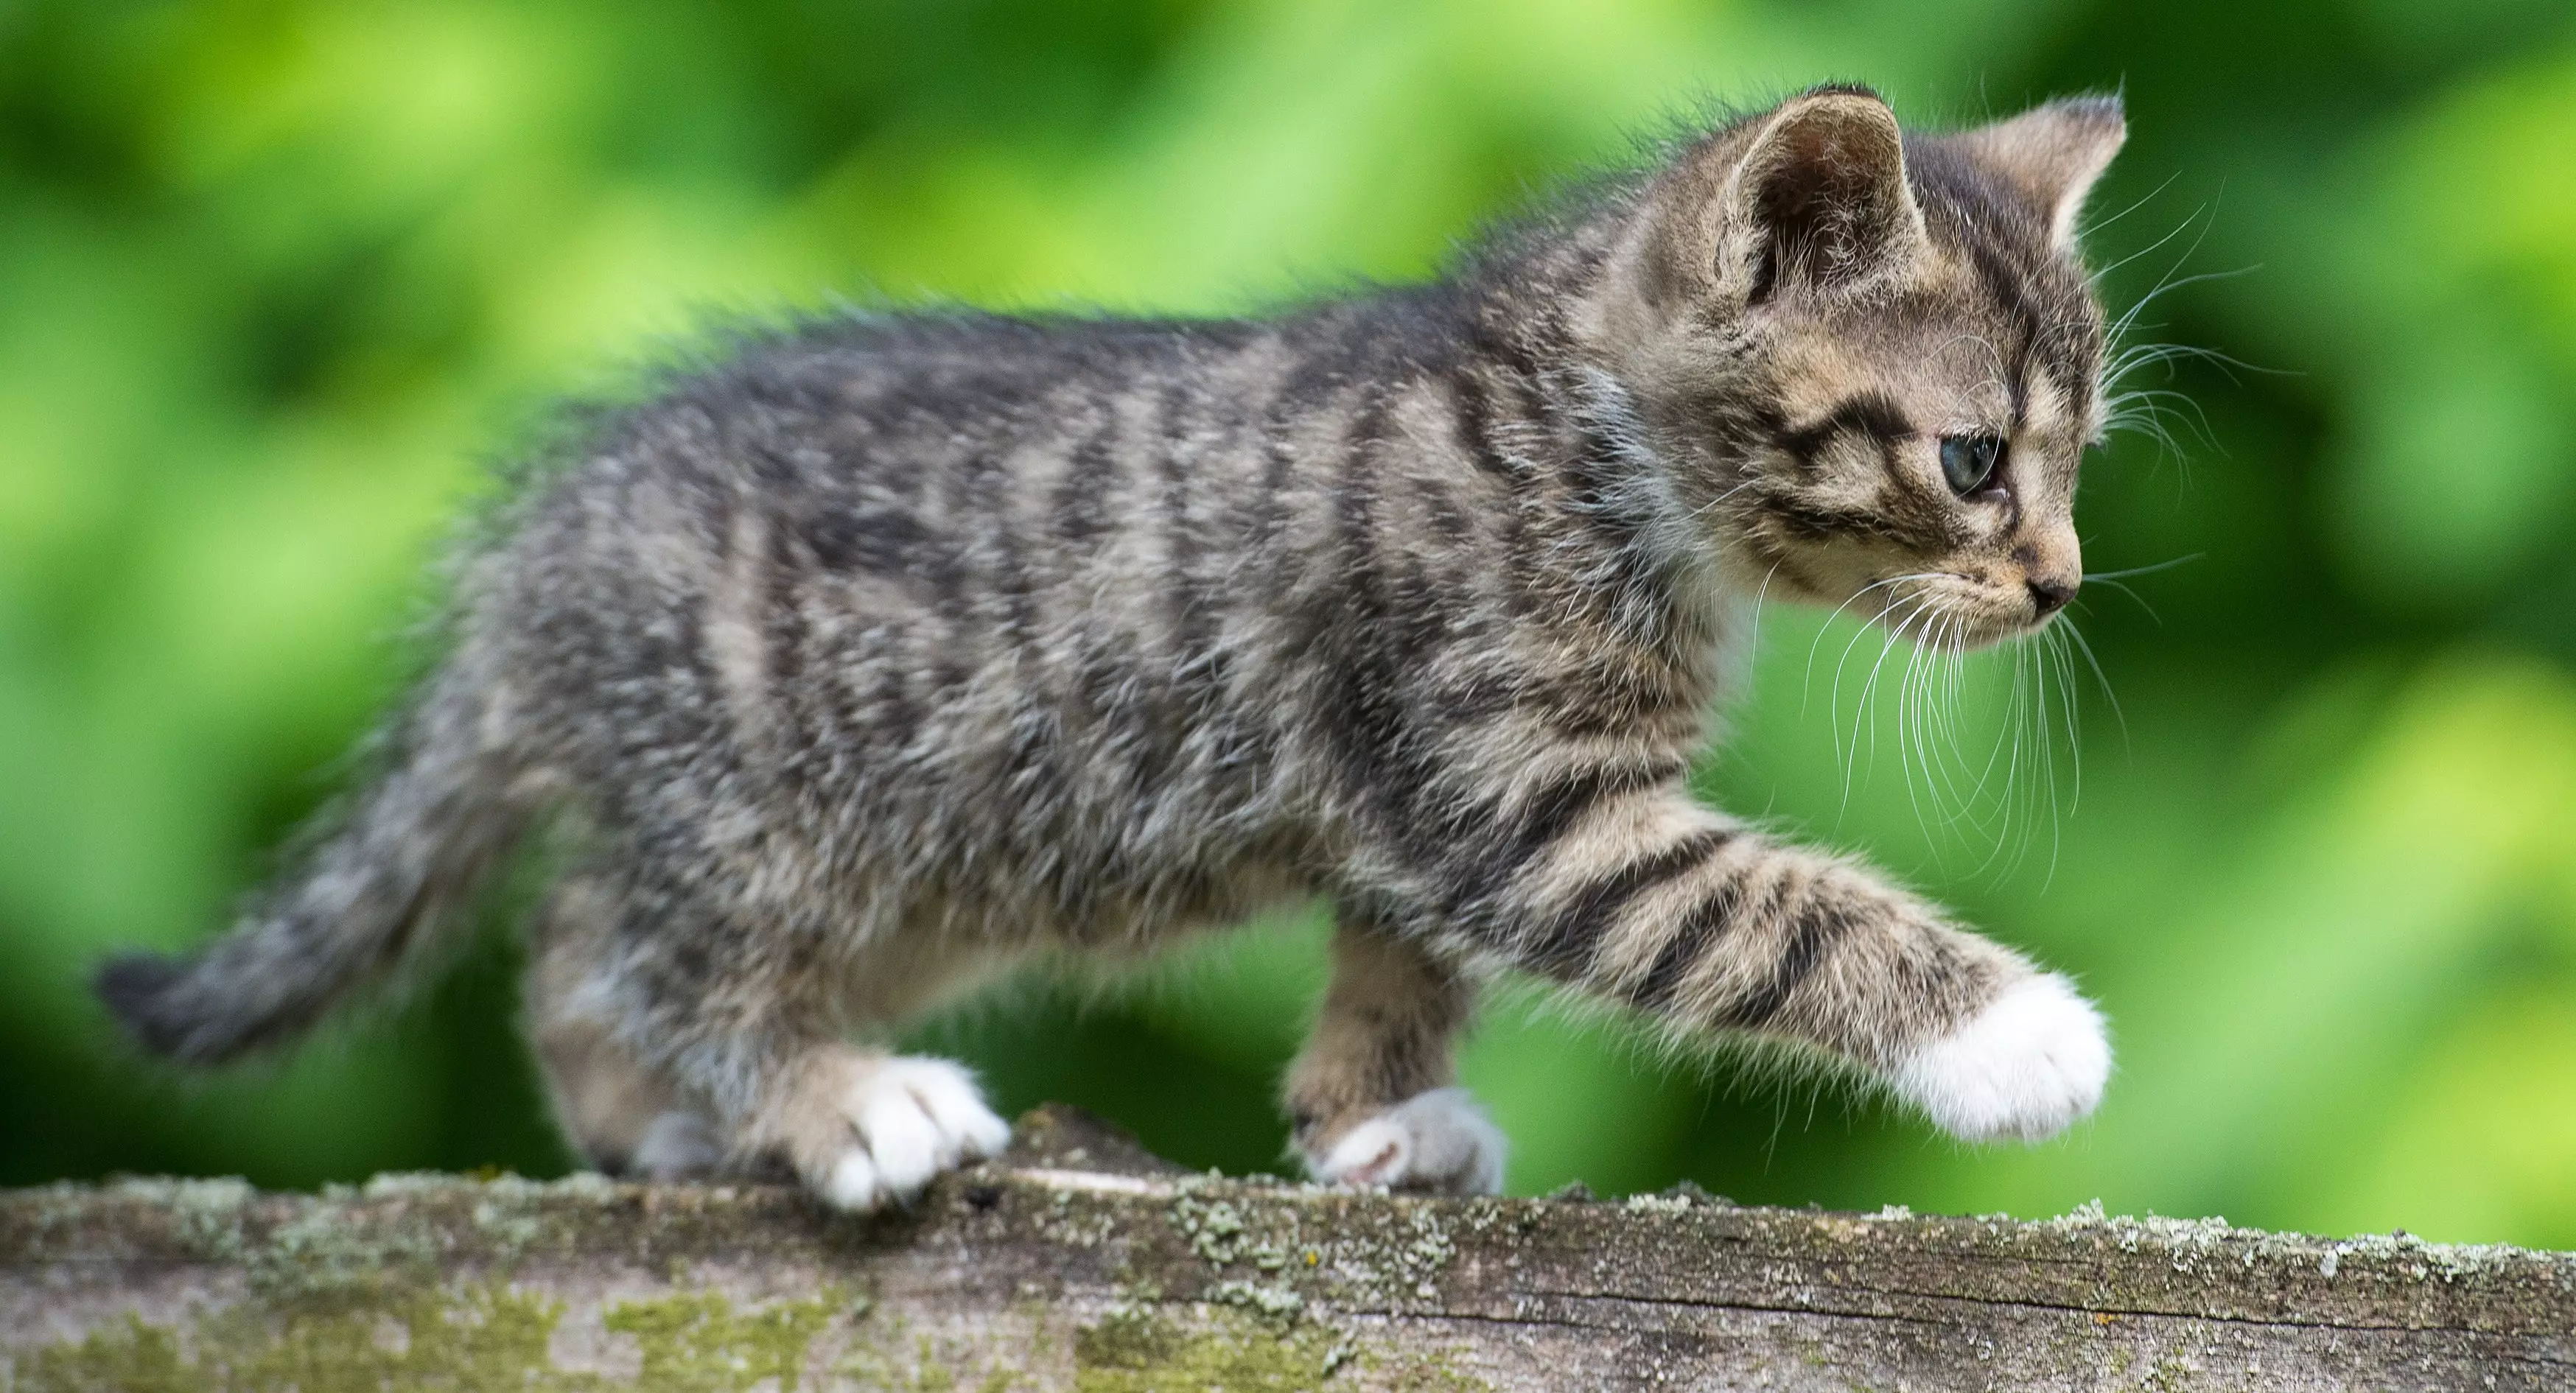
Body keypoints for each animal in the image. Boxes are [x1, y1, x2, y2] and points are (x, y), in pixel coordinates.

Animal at [91, 86, 2122, 1199]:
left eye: (2078, 456)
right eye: (1972, 460)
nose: (2058, 581)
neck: (1570, 436)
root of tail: (542, 544)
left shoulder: (1421, 800)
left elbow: (1401, 958)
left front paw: (1370, 1118)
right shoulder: (1510, 787)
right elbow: (1761, 912)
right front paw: (2011, 1034)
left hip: (915, 864)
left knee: (578, 941)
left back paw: (666, 1123)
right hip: (767, 805)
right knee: (657, 949)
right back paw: (828, 1102)